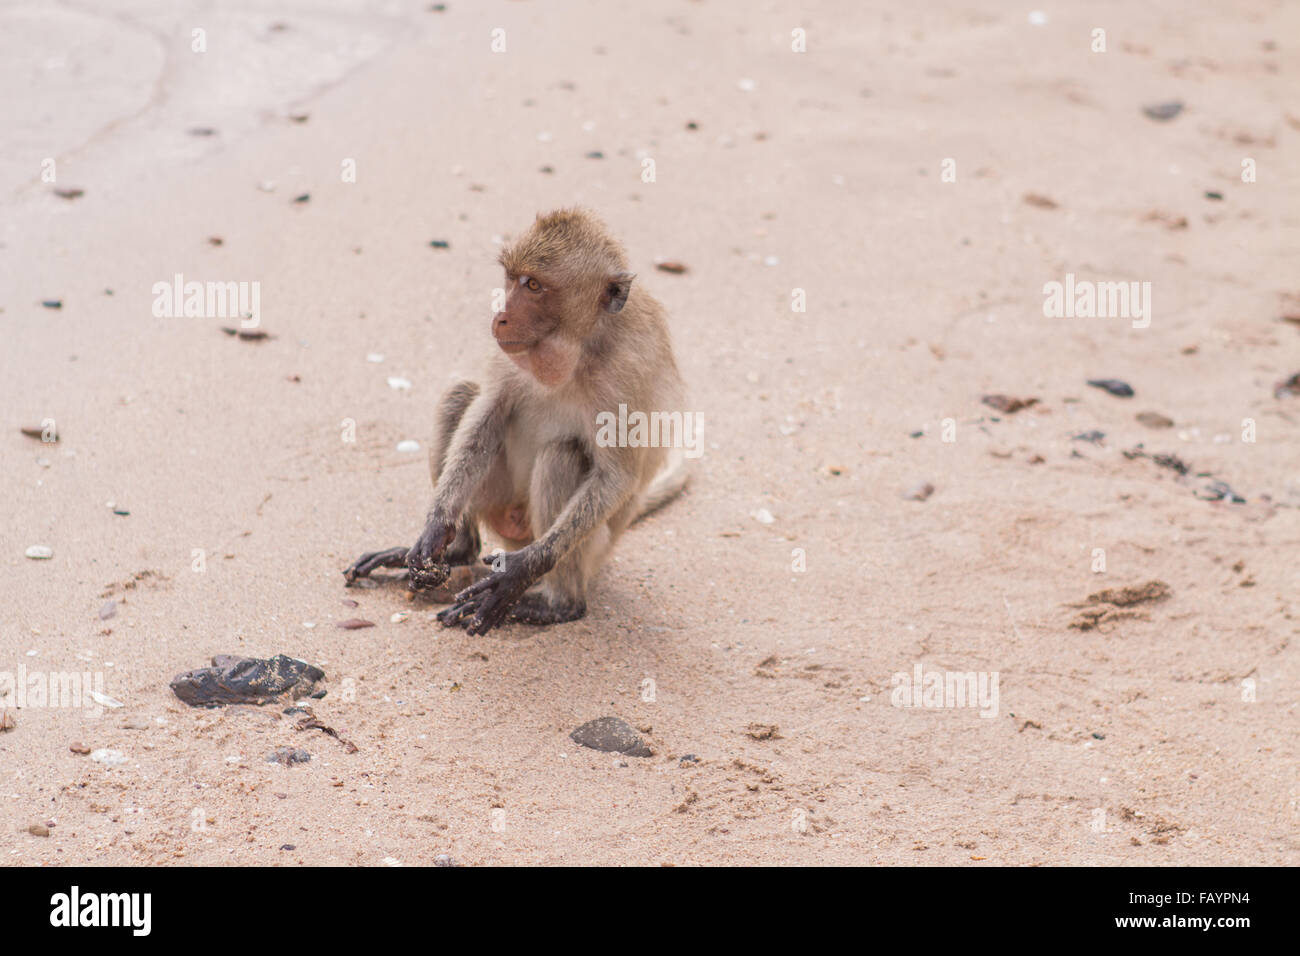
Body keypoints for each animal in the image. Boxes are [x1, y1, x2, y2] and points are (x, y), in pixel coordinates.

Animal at [343, 208, 689, 635]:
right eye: (512, 278)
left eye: (535, 285)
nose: (501, 317)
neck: (578, 349)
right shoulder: (509, 356)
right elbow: (488, 412)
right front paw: (436, 527)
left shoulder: (626, 373)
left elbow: (617, 477)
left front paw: (517, 574)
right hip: (498, 501)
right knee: (459, 395)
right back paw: (458, 549)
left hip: (592, 545)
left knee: (563, 455)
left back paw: (556, 603)